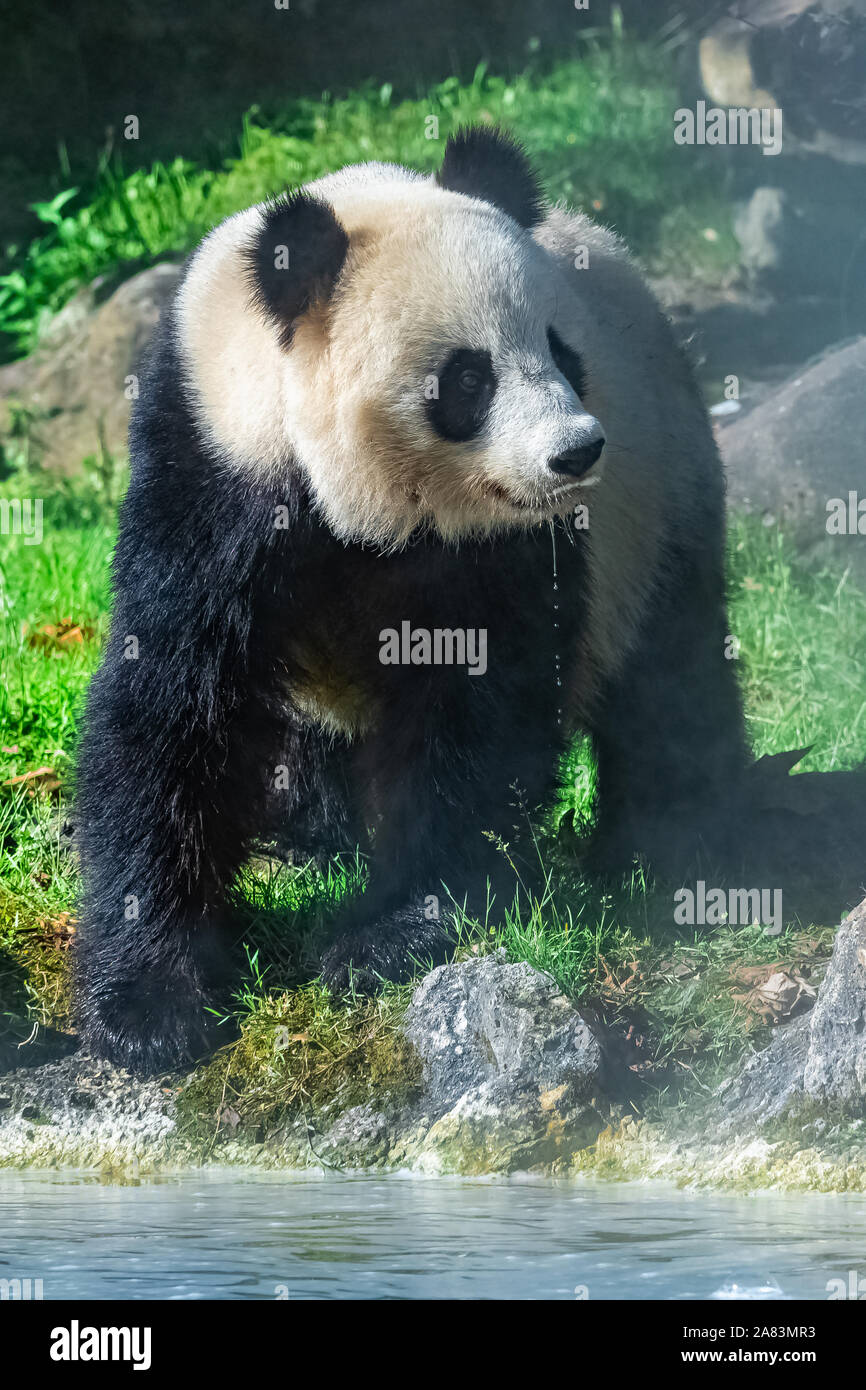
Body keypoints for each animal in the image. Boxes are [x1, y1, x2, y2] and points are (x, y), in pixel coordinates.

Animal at [76, 127, 749, 1071]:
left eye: (563, 350)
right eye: (469, 379)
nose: (576, 451)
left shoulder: (513, 544)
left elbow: (475, 719)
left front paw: (386, 935)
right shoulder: (210, 462)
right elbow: (176, 703)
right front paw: (149, 1004)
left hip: (660, 500)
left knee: (670, 678)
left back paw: (676, 847)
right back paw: (313, 836)